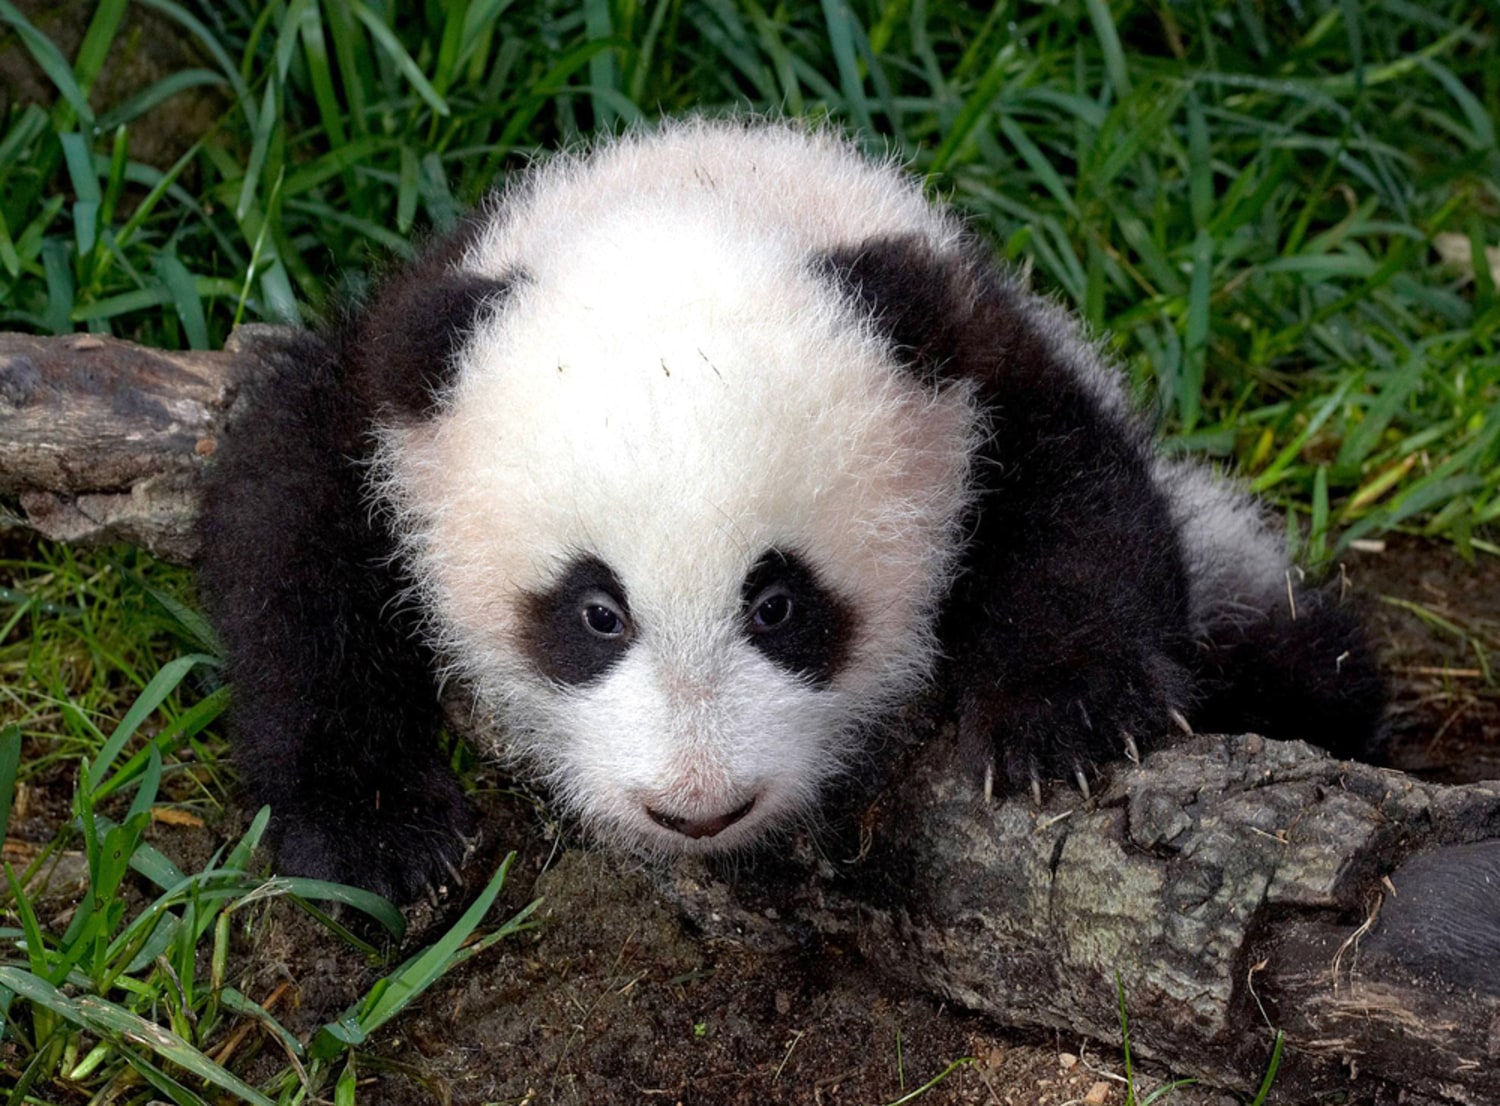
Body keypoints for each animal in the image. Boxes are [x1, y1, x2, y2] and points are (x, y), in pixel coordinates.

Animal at [198, 118, 1385, 902]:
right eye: (595, 612)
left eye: (779, 603)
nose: (698, 807)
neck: (710, 185)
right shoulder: (388, 377)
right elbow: (289, 546)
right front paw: (376, 830)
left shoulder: (976, 353)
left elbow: (1079, 502)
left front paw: (1062, 718)